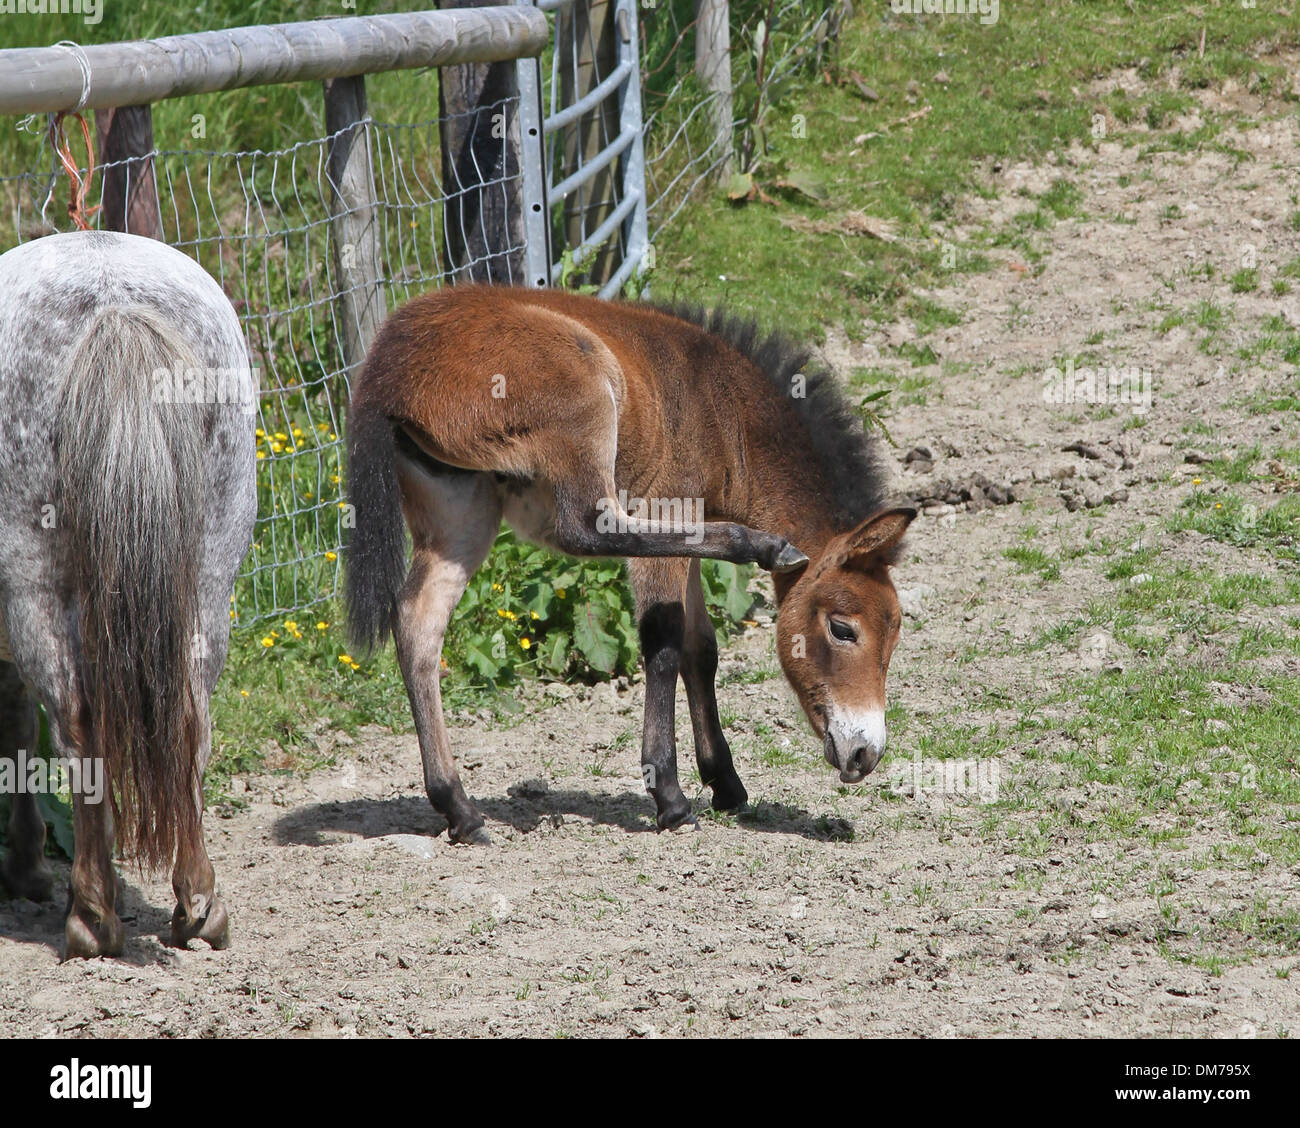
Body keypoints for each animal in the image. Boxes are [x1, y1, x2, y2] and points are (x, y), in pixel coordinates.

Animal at [0, 231, 257, 959]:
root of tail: (111, 299)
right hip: (208, 576)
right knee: (191, 714)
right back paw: (199, 907)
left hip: (31, 585)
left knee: (77, 722)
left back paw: (91, 915)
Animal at [345, 285, 915, 845]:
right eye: (842, 629)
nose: (865, 755)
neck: (722, 409)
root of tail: (389, 368)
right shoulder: (669, 509)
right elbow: (663, 643)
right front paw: (672, 799)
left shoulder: (689, 538)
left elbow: (701, 650)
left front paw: (725, 784)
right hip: (584, 409)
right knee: (586, 528)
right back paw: (760, 544)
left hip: (461, 511)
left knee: (417, 622)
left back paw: (458, 809)